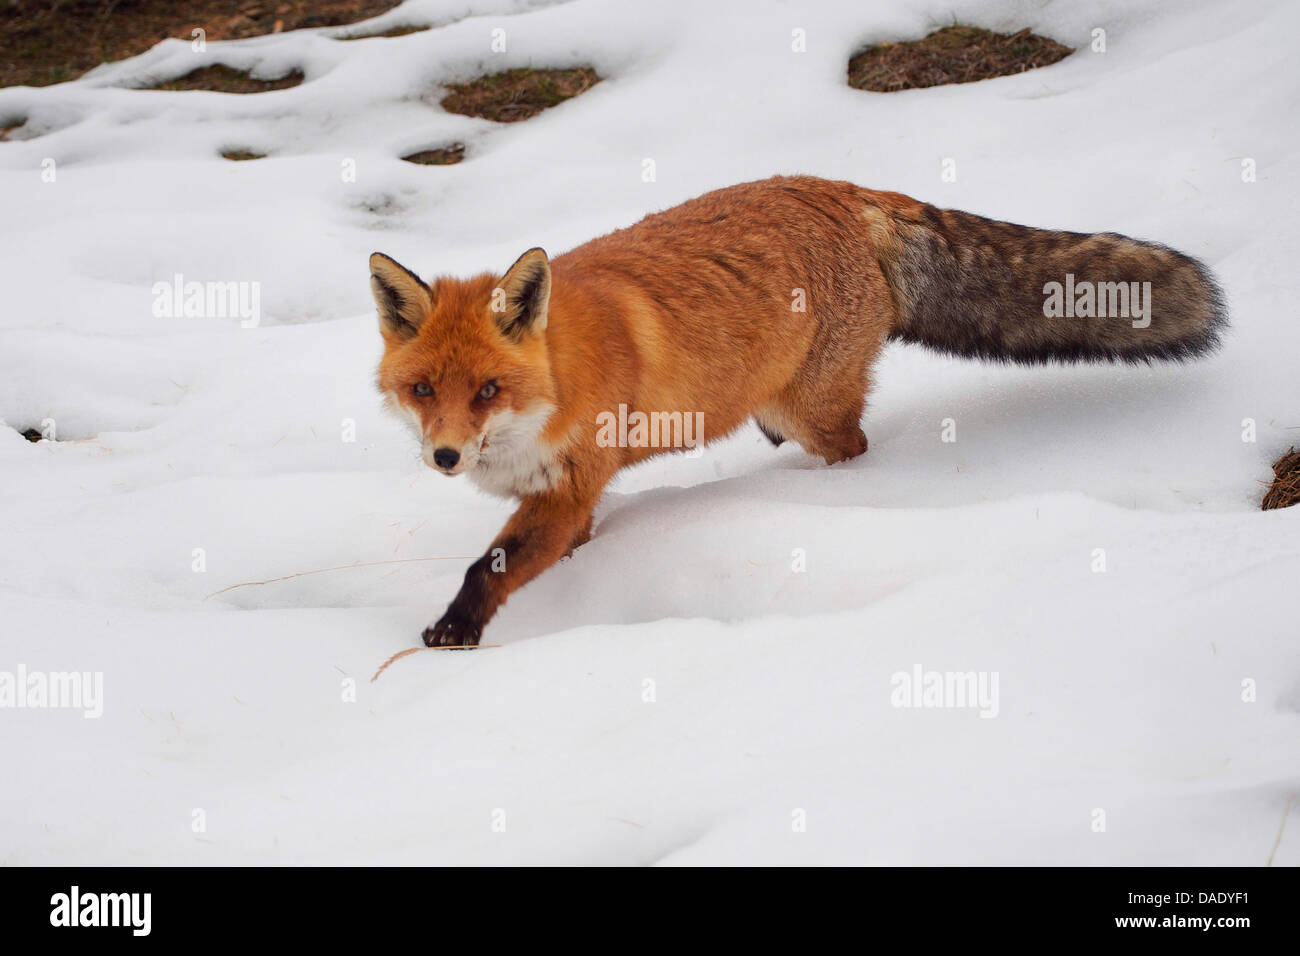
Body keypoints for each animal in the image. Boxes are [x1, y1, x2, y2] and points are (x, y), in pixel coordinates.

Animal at [371, 175, 1225, 647]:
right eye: (424, 391)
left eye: (488, 390)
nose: (445, 456)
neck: (554, 385)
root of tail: (847, 189)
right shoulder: (566, 500)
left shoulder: (569, 487)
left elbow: (488, 565)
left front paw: (456, 630)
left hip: (816, 411)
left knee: (854, 448)